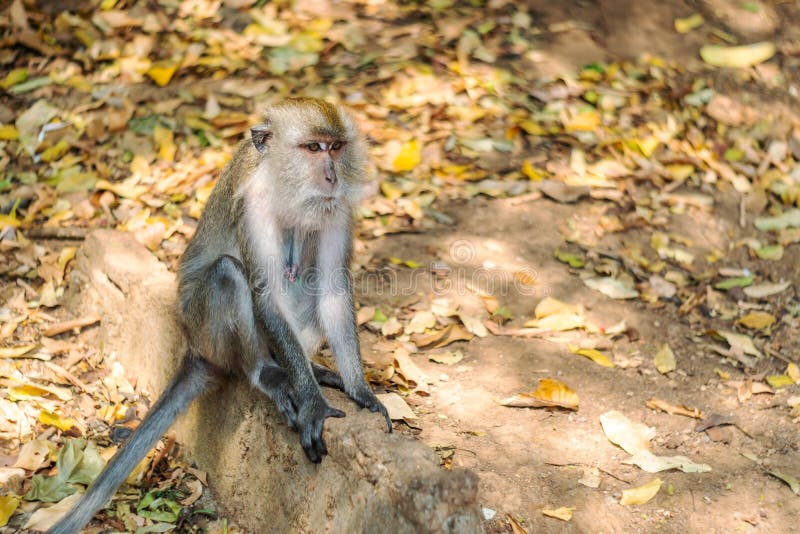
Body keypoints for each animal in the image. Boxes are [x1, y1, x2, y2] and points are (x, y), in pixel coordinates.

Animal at [48, 98, 391, 534]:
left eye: (336, 147)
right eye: (313, 148)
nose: (331, 176)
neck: (285, 188)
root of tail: (193, 348)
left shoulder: (338, 207)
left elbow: (331, 290)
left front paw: (361, 390)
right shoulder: (252, 207)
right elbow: (264, 295)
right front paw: (313, 404)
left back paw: (309, 368)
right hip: (206, 331)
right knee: (228, 274)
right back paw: (268, 372)